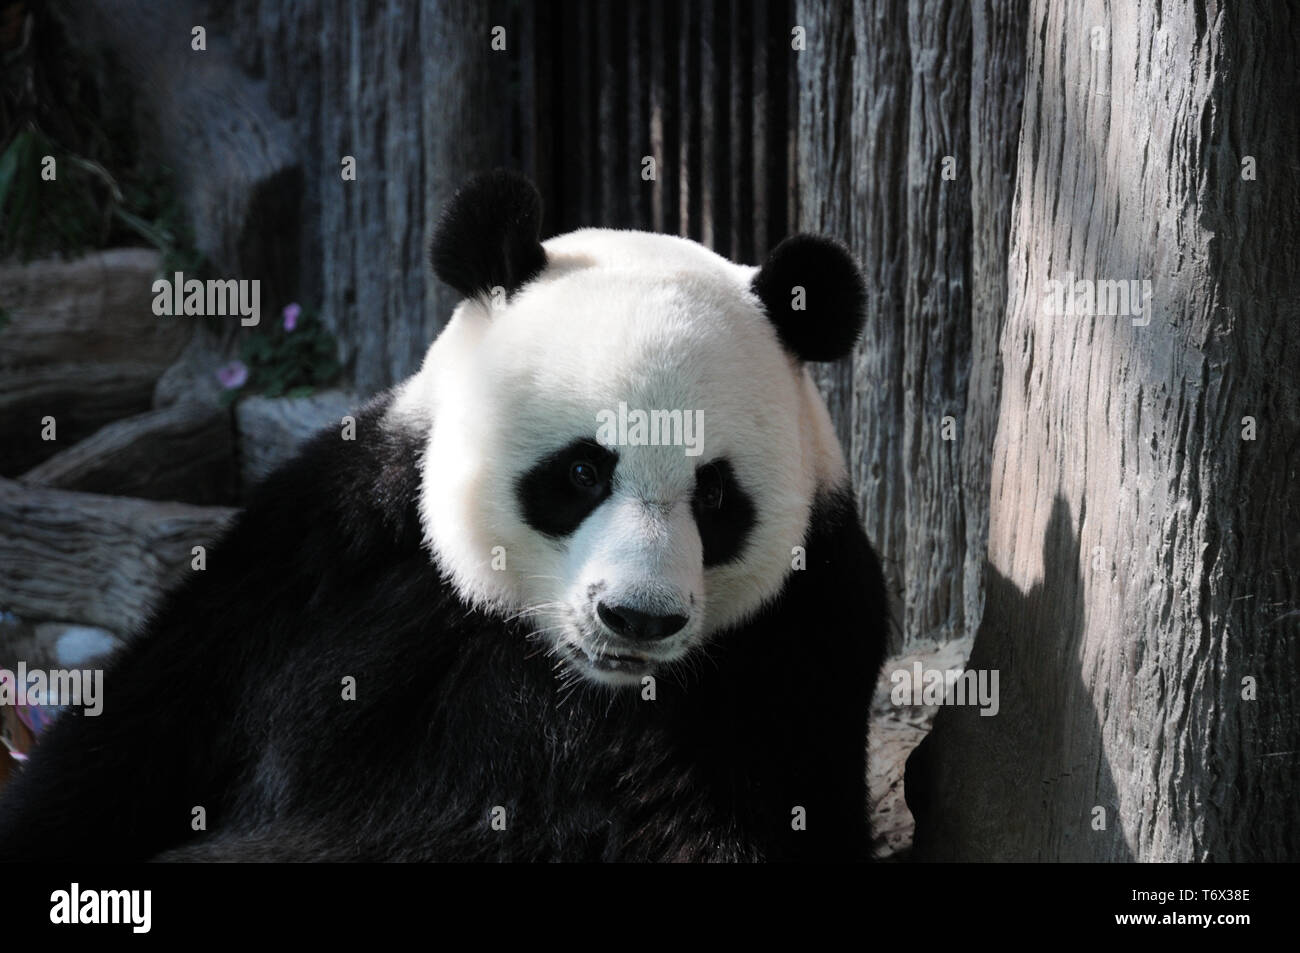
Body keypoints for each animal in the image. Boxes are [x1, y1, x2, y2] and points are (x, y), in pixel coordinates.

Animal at [0, 171, 888, 862]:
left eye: (714, 497)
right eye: (582, 471)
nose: (638, 617)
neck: (564, 668)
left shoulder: (792, 648)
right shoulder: (336, 546)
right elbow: (150, 721)